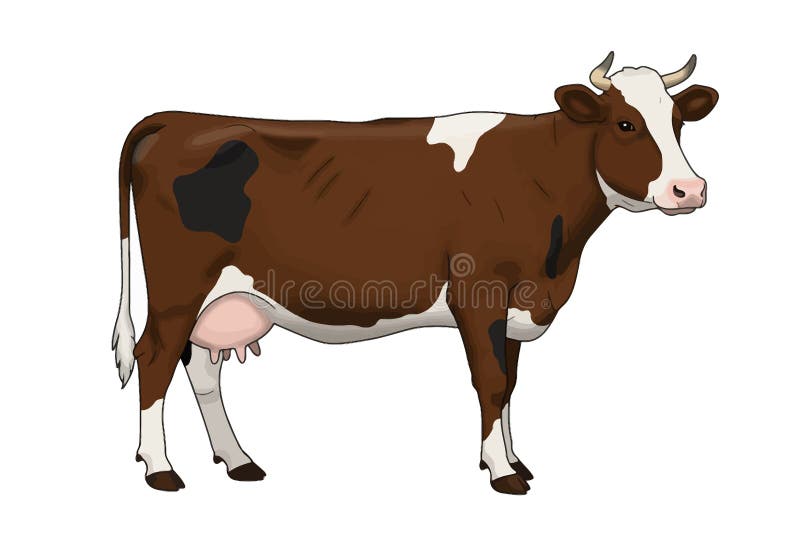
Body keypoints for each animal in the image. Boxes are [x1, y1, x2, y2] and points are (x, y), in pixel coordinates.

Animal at [112, 53, 718, 493]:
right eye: (625, 124)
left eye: (678, 123)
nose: (689, 190)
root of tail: (181, 118)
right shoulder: (481, 292)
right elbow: (490, 381)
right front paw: (502, 473)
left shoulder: (516, 303)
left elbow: (510, 384)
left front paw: (512, 459)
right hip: (177, 289)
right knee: (154, 358)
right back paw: (160, 469)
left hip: (220, 298)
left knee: (202, 370)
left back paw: (238, 461)